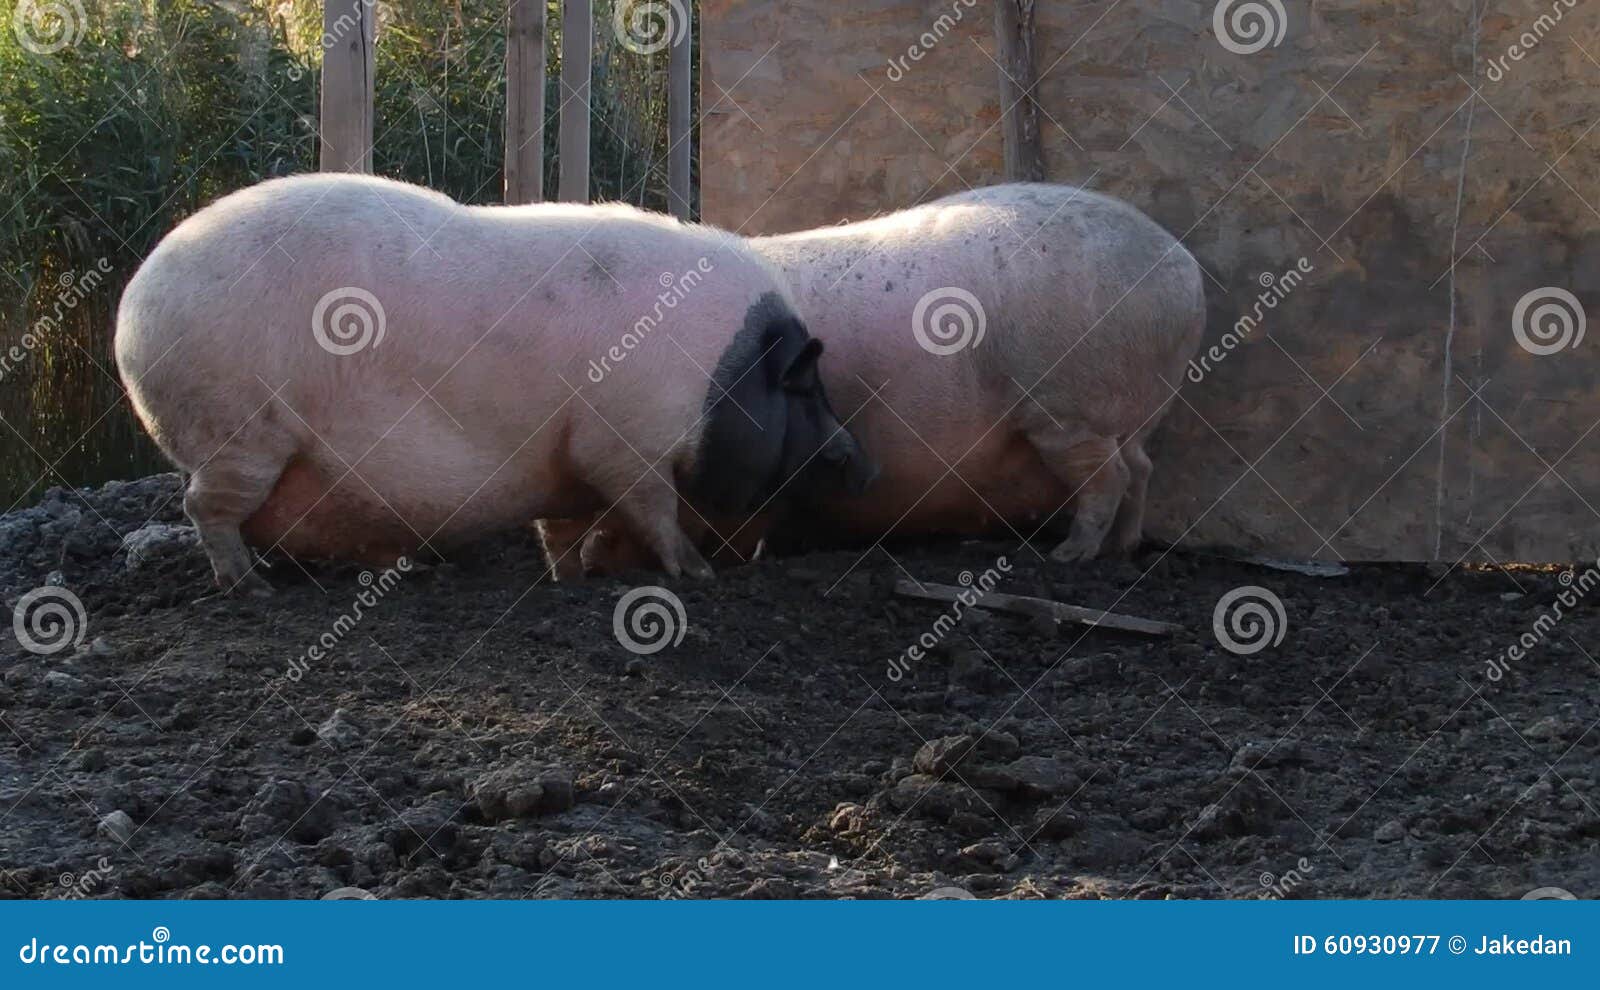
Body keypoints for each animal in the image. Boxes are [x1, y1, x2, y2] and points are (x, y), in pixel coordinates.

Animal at [114, 172, 875, 594]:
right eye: (805, 388)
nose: (858, 458)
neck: (721, 376)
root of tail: (133, 305)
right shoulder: (624, 441)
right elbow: (653, 509)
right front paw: (698, 576)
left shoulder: (569, 464)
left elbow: (564, 531)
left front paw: (571, 580)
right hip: (239, 432)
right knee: (203, 508)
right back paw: (251, 587)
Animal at [541, 182, 1204, 574]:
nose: (576, 559)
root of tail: (1182, 267)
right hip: (1122, 410)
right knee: (1141, 467)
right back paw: (1123, 549)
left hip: (1066, 407)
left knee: (1109, 476)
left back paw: (1072, 556)